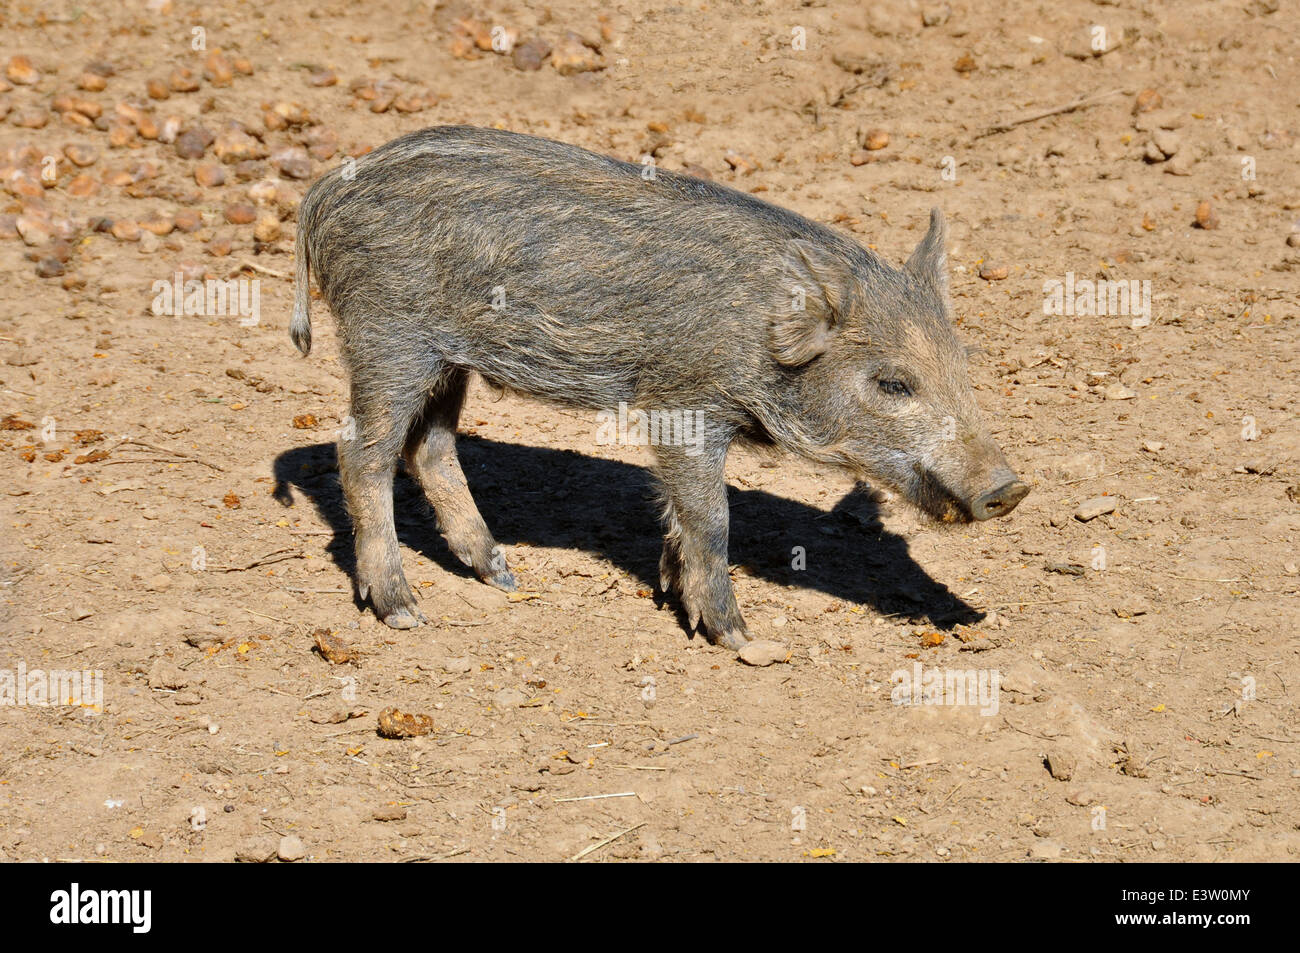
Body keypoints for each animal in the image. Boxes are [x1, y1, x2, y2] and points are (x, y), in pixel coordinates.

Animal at [290, 125, 1028, 649]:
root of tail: (327, 190)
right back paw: (403, 611)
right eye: (892, 382)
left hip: (448, 362)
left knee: (432, 449)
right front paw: (740, 639)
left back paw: (502, 575)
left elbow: (681, 514)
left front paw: (674, 595)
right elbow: (712, 515)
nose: (1011, 488)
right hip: (388, 338)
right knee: (362, 453)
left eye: (962, 368)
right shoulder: (682, 403)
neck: (762, 338)